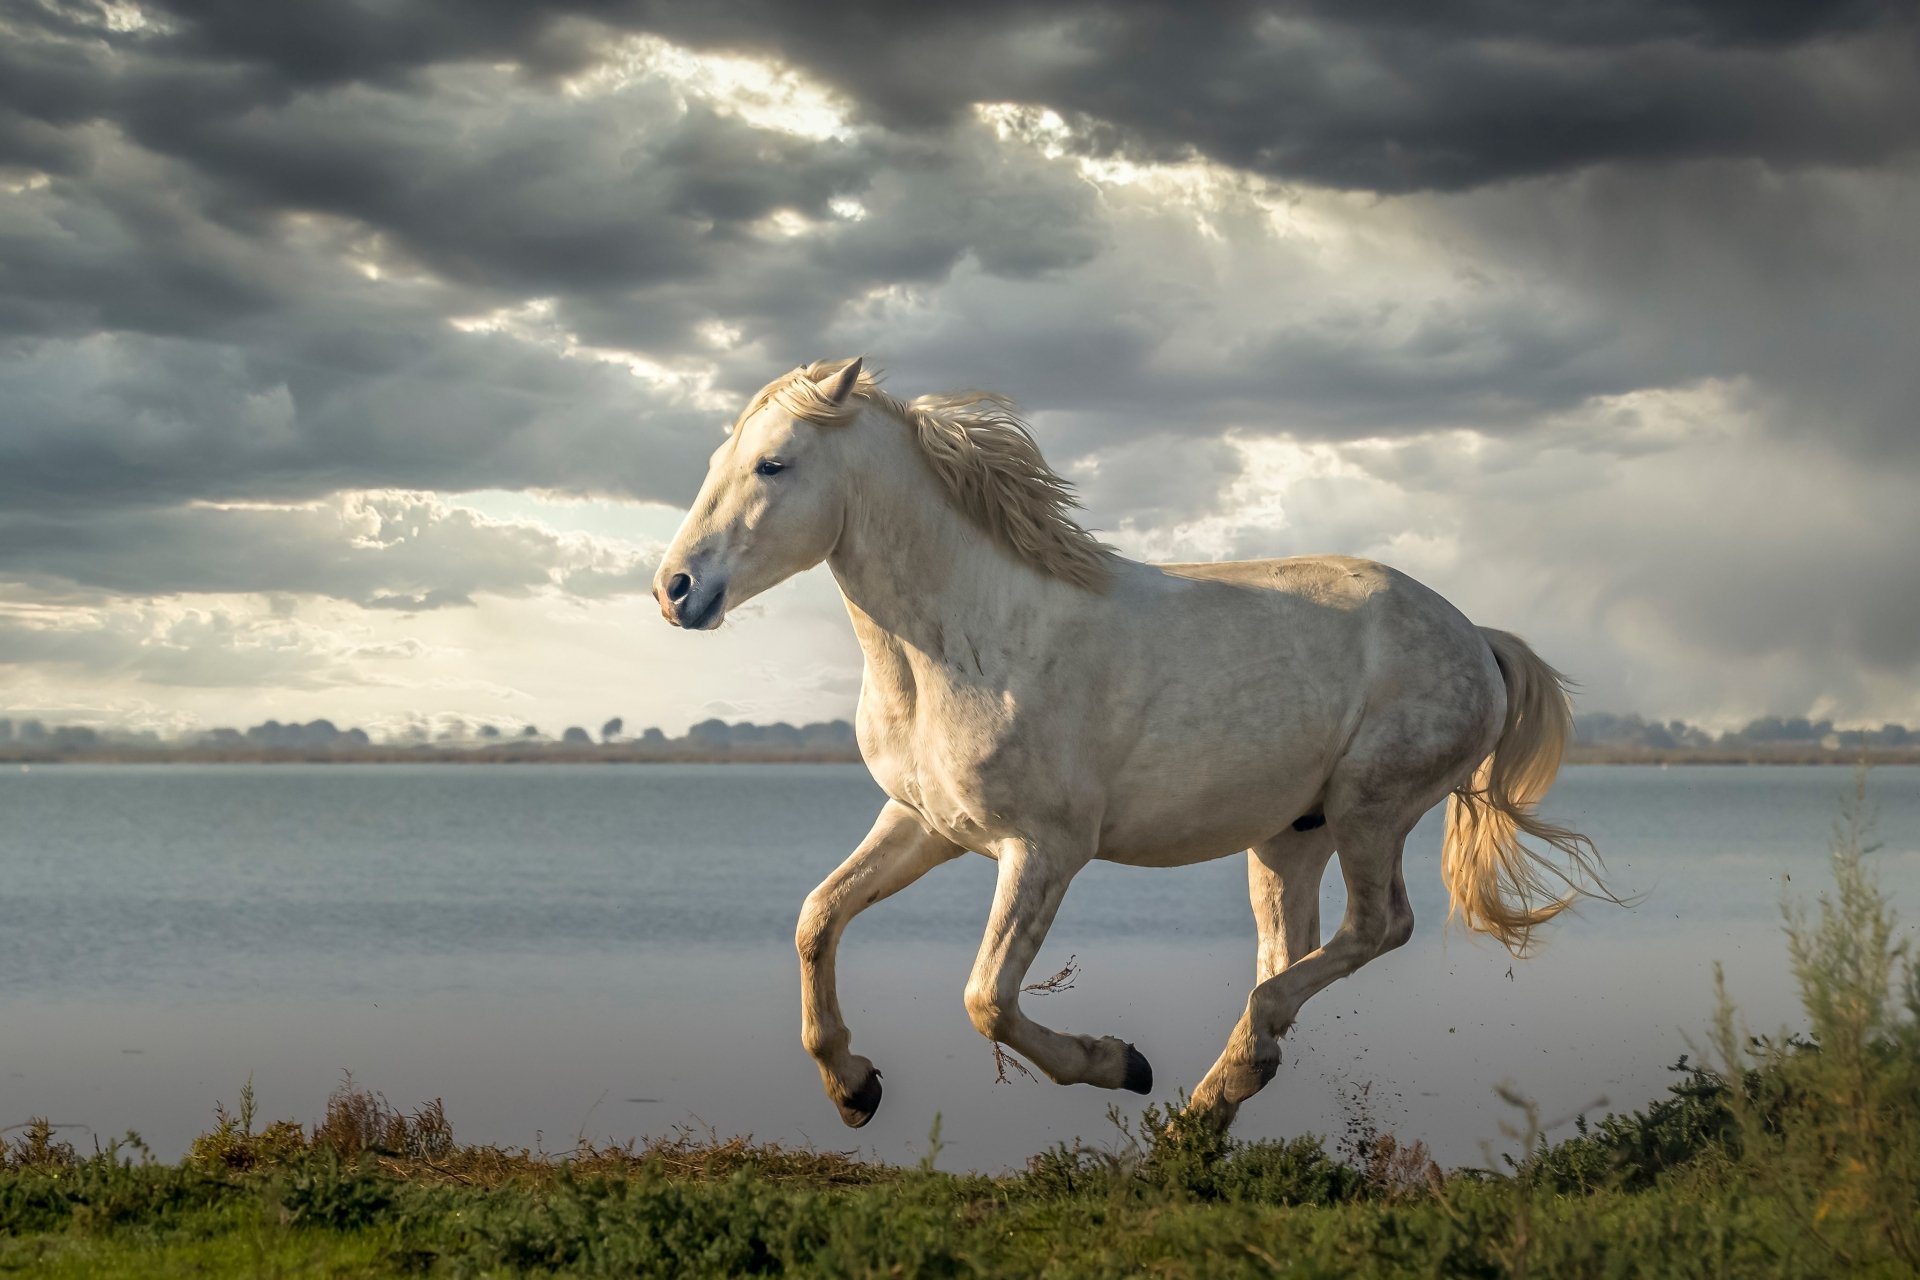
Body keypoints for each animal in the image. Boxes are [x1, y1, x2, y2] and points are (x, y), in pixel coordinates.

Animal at [651, 356, 1606, 1131]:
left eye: (773, 464)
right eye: (715, 464)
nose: (675, 590)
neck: (966, 641)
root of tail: (1476, 637)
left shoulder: (1044, 850)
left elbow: (987, 1000)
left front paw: (1120, 1063)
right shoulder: (924, 824)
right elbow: (818, 919)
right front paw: (852, 1089)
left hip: (1372, 810)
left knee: (1377, 928)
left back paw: (1203, 1091)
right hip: (1290, 836)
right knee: (1289, 953)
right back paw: (1210, 1107)